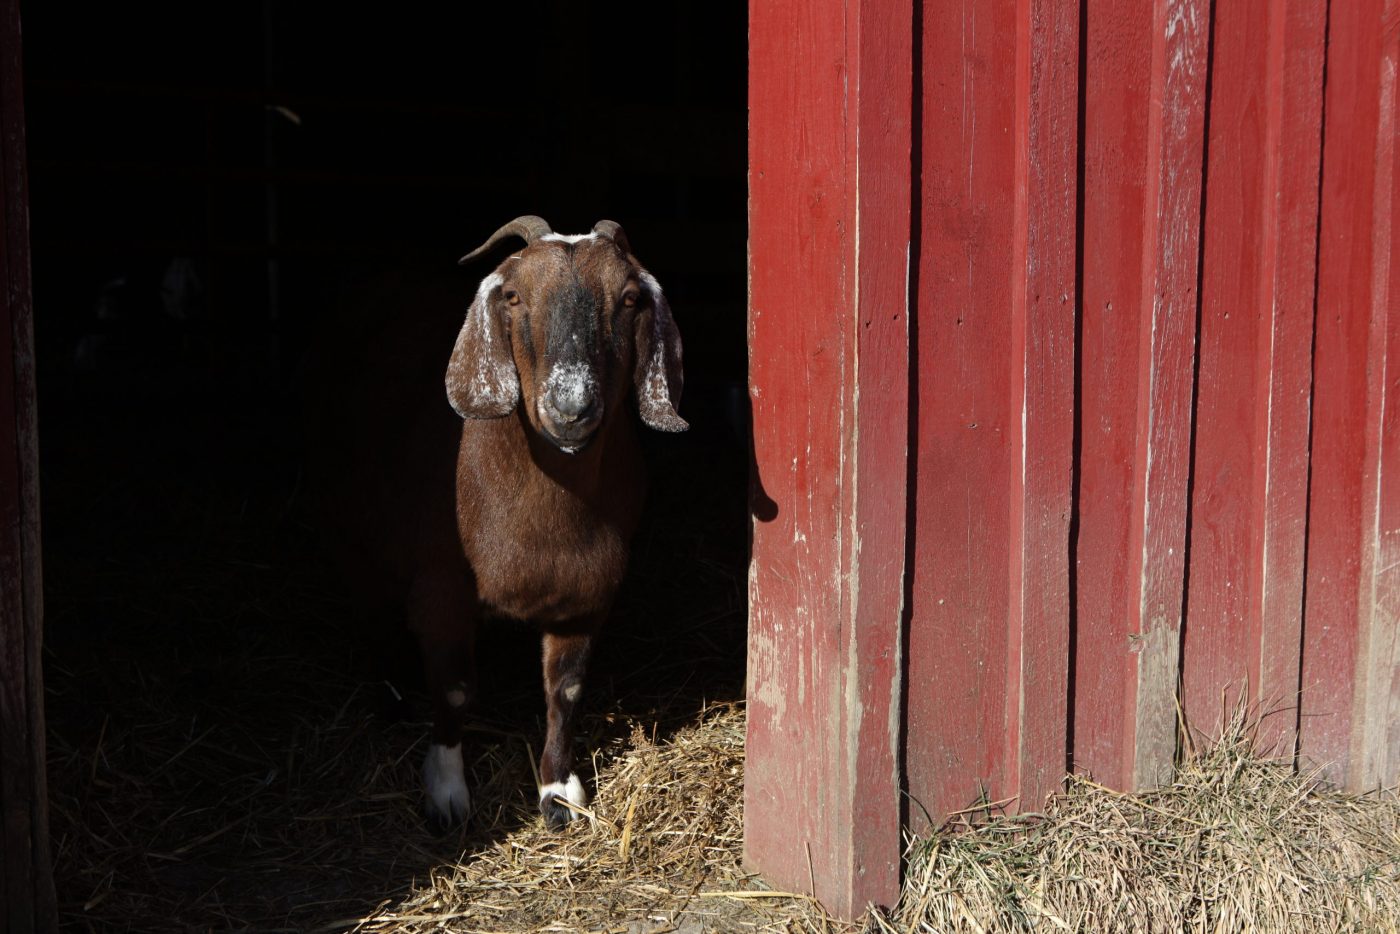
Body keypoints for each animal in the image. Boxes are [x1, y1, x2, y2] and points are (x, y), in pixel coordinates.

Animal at [415, 215, 686, 828]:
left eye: (629, 298)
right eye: (514, 296)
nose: (570, 409)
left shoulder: (588, 593)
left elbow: (566, 687)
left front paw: (558, 791)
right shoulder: (441, 585)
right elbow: (455, 687)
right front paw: (447, 792)